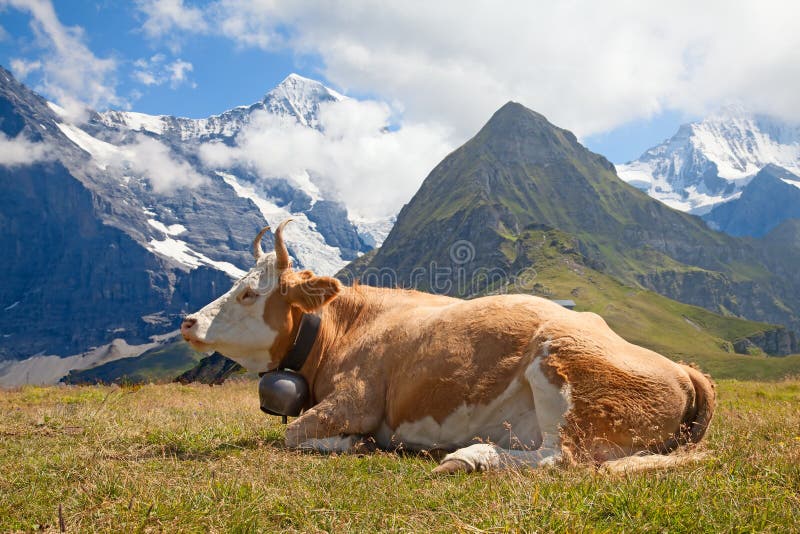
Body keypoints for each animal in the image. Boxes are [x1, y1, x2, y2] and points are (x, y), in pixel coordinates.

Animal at [181, 221, 715, 474]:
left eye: (249, 293)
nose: (187, 322)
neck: (344, 329)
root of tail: (681, 368)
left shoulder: (356, 400)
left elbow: (293, 435)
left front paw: (357, 444)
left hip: (560, 367)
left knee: (560, 459)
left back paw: (469, 457)